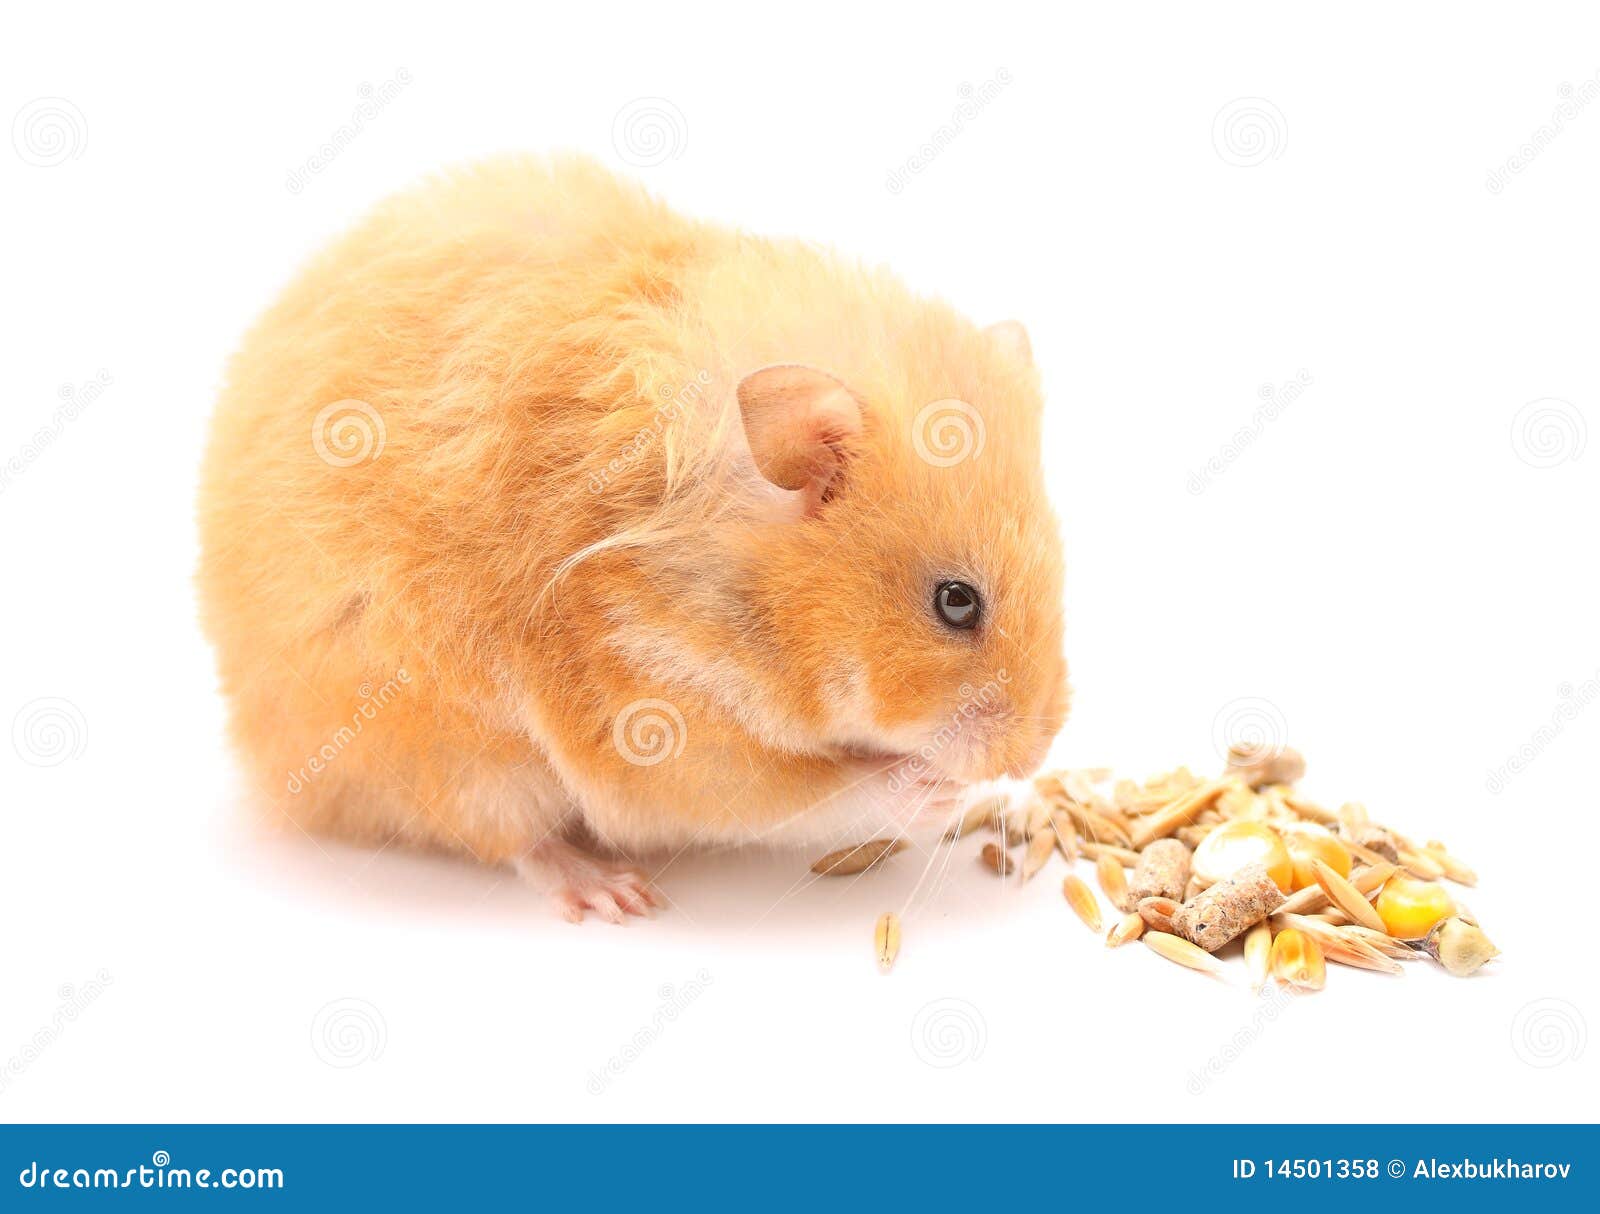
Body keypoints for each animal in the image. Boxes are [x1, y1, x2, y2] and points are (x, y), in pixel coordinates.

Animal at [197, 155, 1068, 922]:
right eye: (955, 603)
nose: (1032, 757)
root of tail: (270, 766)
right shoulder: (654, 725)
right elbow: (809, 793)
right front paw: (938, 789)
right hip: (455, 753)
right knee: (513, 839)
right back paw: (611, 893)